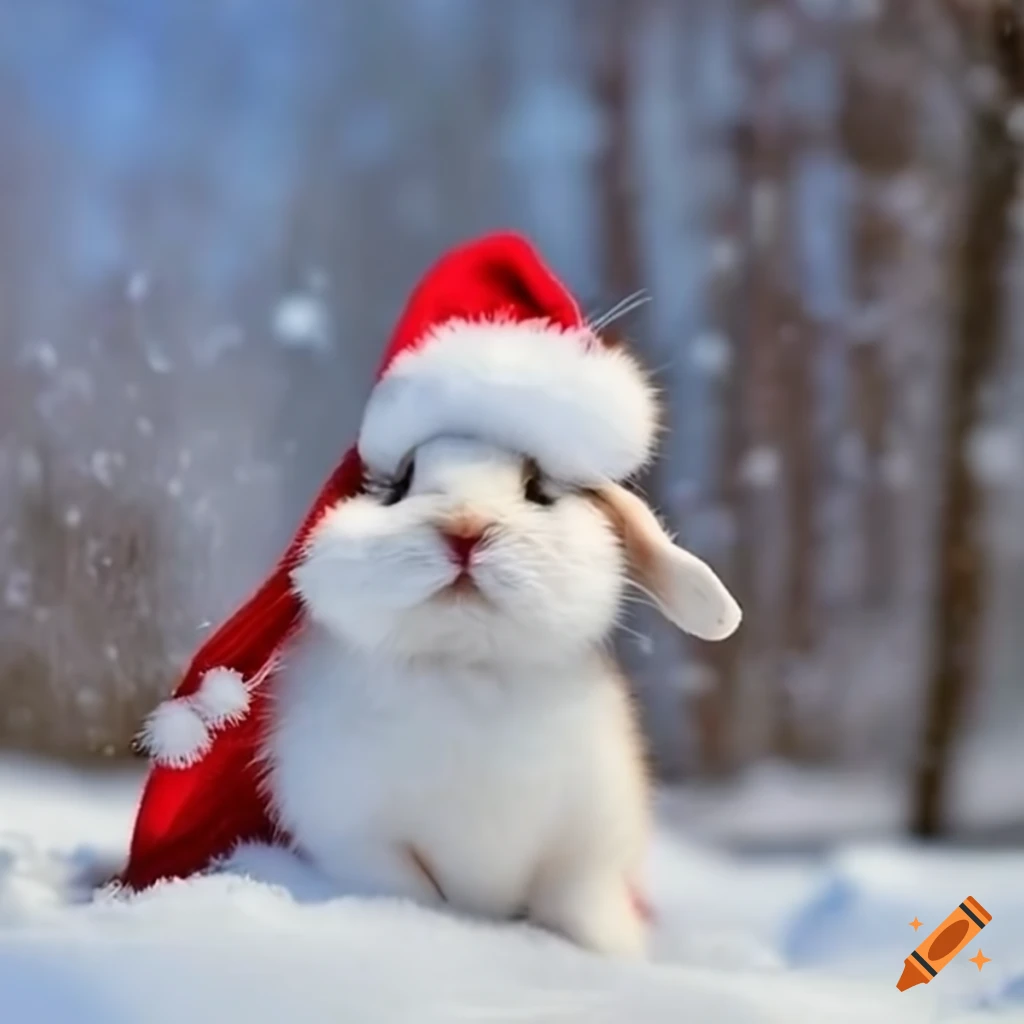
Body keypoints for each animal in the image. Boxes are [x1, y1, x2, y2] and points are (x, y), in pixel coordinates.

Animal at [260, 433, 741, 957]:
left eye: (537, 490)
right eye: (399, 488)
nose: (465, 530)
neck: (468, 665)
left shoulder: (583, 853)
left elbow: (574, 903)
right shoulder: (359, 837)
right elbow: (408, 888)